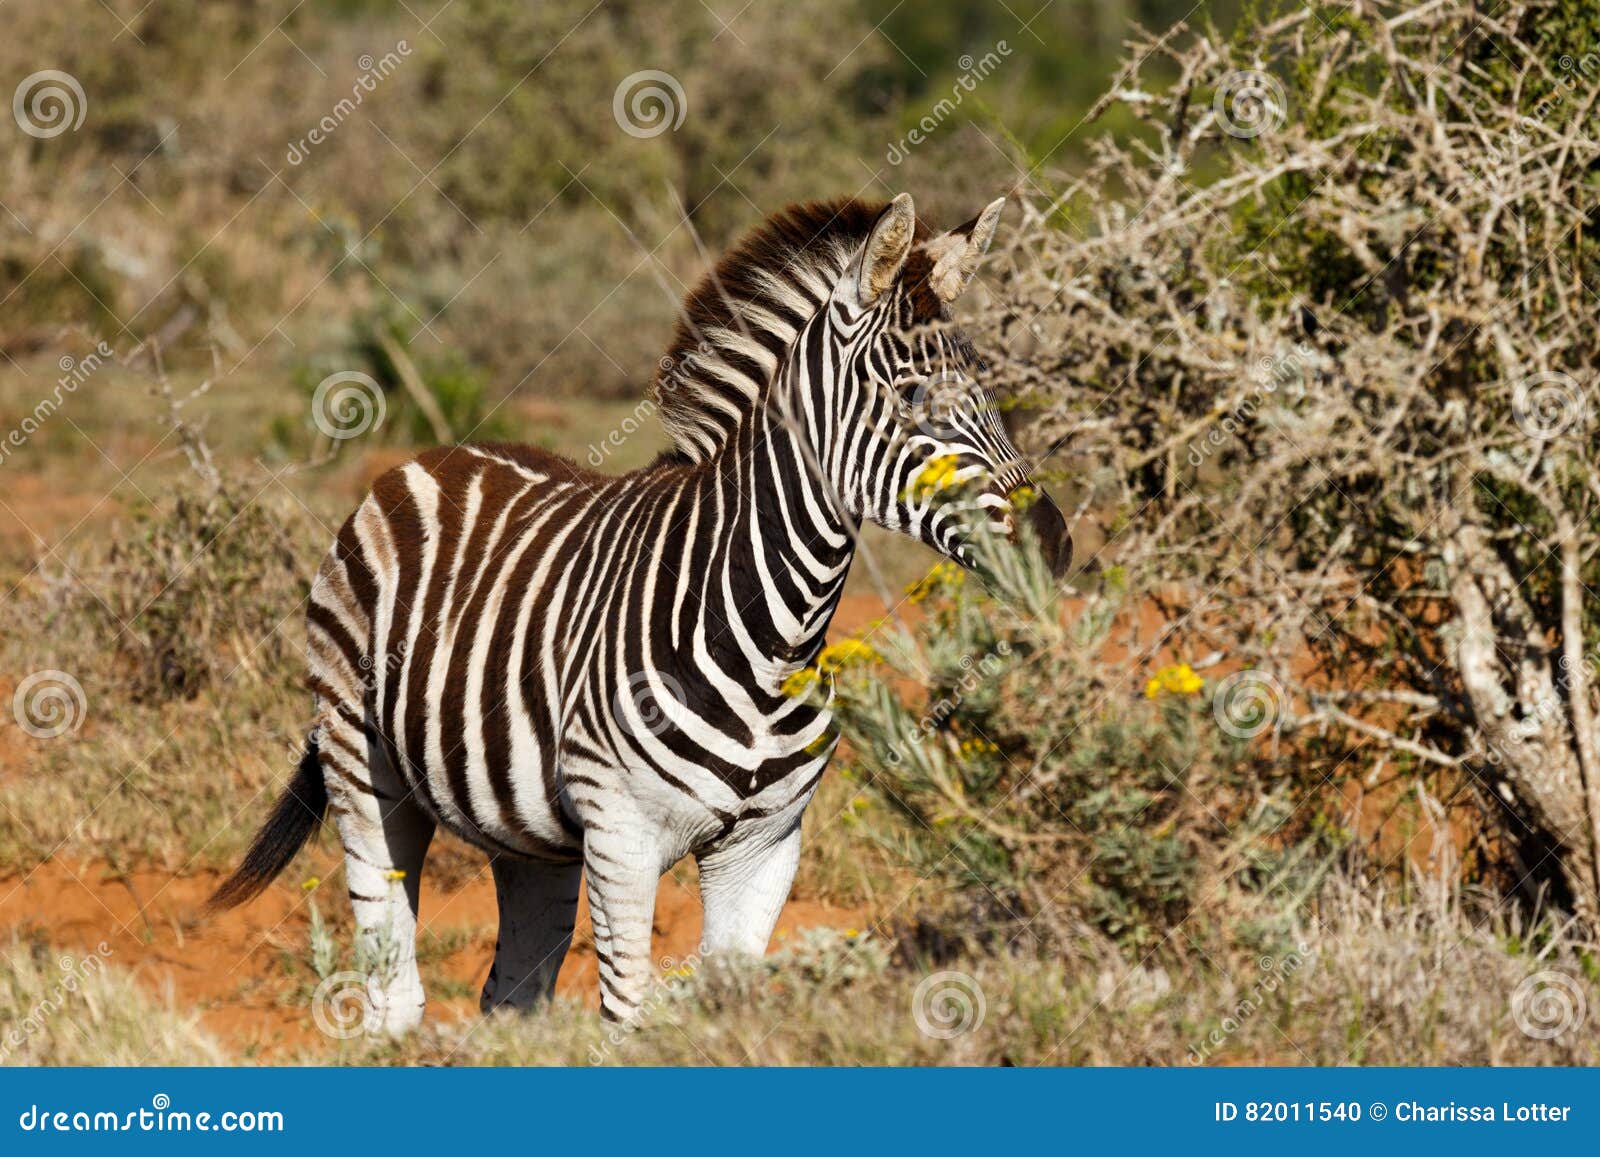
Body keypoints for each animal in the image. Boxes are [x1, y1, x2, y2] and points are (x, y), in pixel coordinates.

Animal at [210, 193, 1072, 1029]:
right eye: (911, 397)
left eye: (991, 391)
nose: (1052, 542)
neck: (773, 640)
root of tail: (431, 457)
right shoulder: (623, 837)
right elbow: (627, 1014)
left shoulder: (765, 845)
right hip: (364, 768)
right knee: (393, 986)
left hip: (531, 836)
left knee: (511, 996)